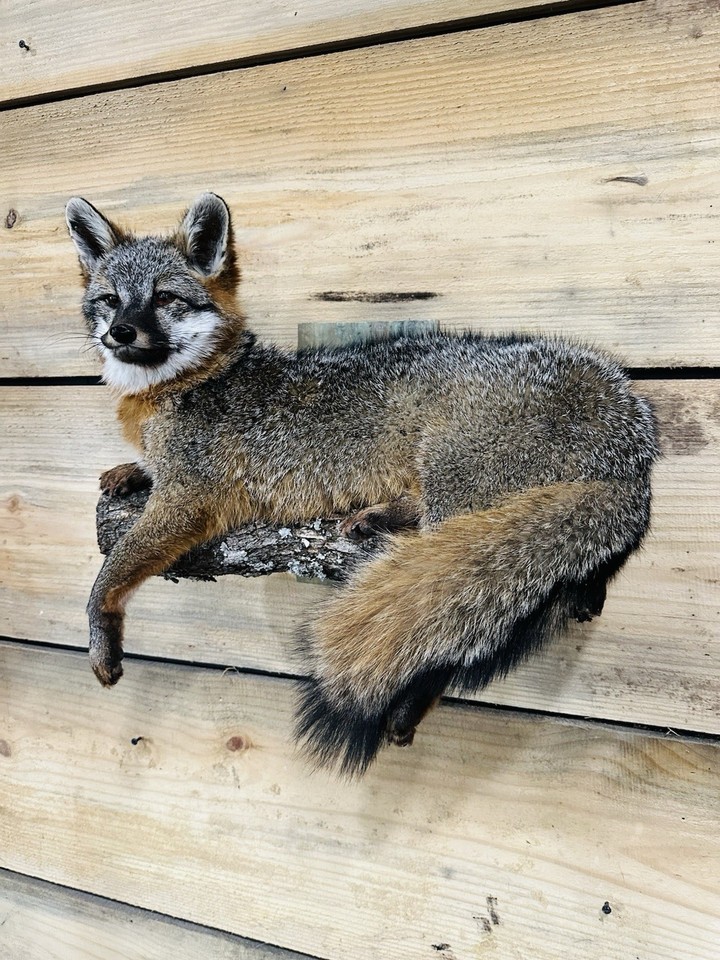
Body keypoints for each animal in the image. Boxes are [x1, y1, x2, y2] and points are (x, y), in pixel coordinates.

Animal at [66, 192, 659, 776]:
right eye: (111, 301)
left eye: (164, 298)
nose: (120, 333)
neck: (187, 386)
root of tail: (632, 445)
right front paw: (129, 470)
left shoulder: (191, 497)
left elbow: (108, 574)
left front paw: (101, 633)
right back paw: (380, 516)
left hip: (452, 494)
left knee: (454, 619)